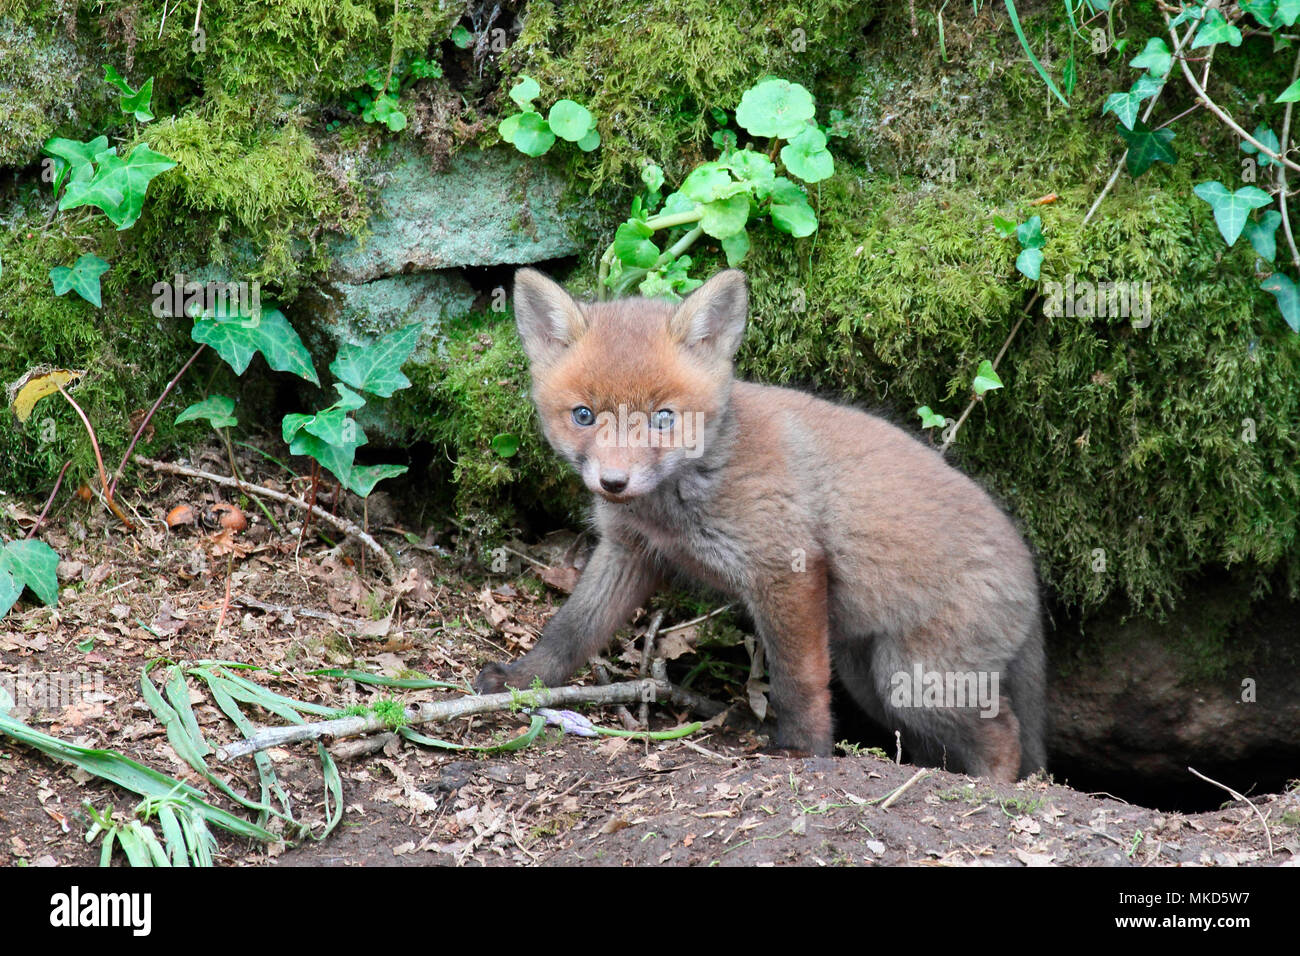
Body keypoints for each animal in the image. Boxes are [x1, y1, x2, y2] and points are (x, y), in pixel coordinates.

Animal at [474, 268, 1047, 781]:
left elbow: (798, 680)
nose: (614, 483)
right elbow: (571, 631)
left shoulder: (787, 567)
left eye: (663, 418)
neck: (680, 503)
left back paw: (993, 785)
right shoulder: (628, 552)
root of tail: (1032, 576)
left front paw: (804, 749)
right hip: (872, 677)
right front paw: (522, 680)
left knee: (1006, 736)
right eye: (584, 415)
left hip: (915, 679)